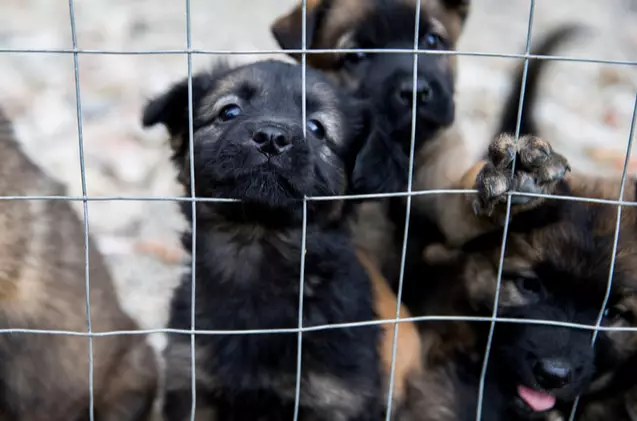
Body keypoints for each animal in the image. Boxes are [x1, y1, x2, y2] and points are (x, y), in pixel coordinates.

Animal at [142, 60, 386, 420]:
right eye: (229, 111)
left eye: (317, 128)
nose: (271, 137)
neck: (258, 245)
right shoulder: (192, 382)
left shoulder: (335, 398)